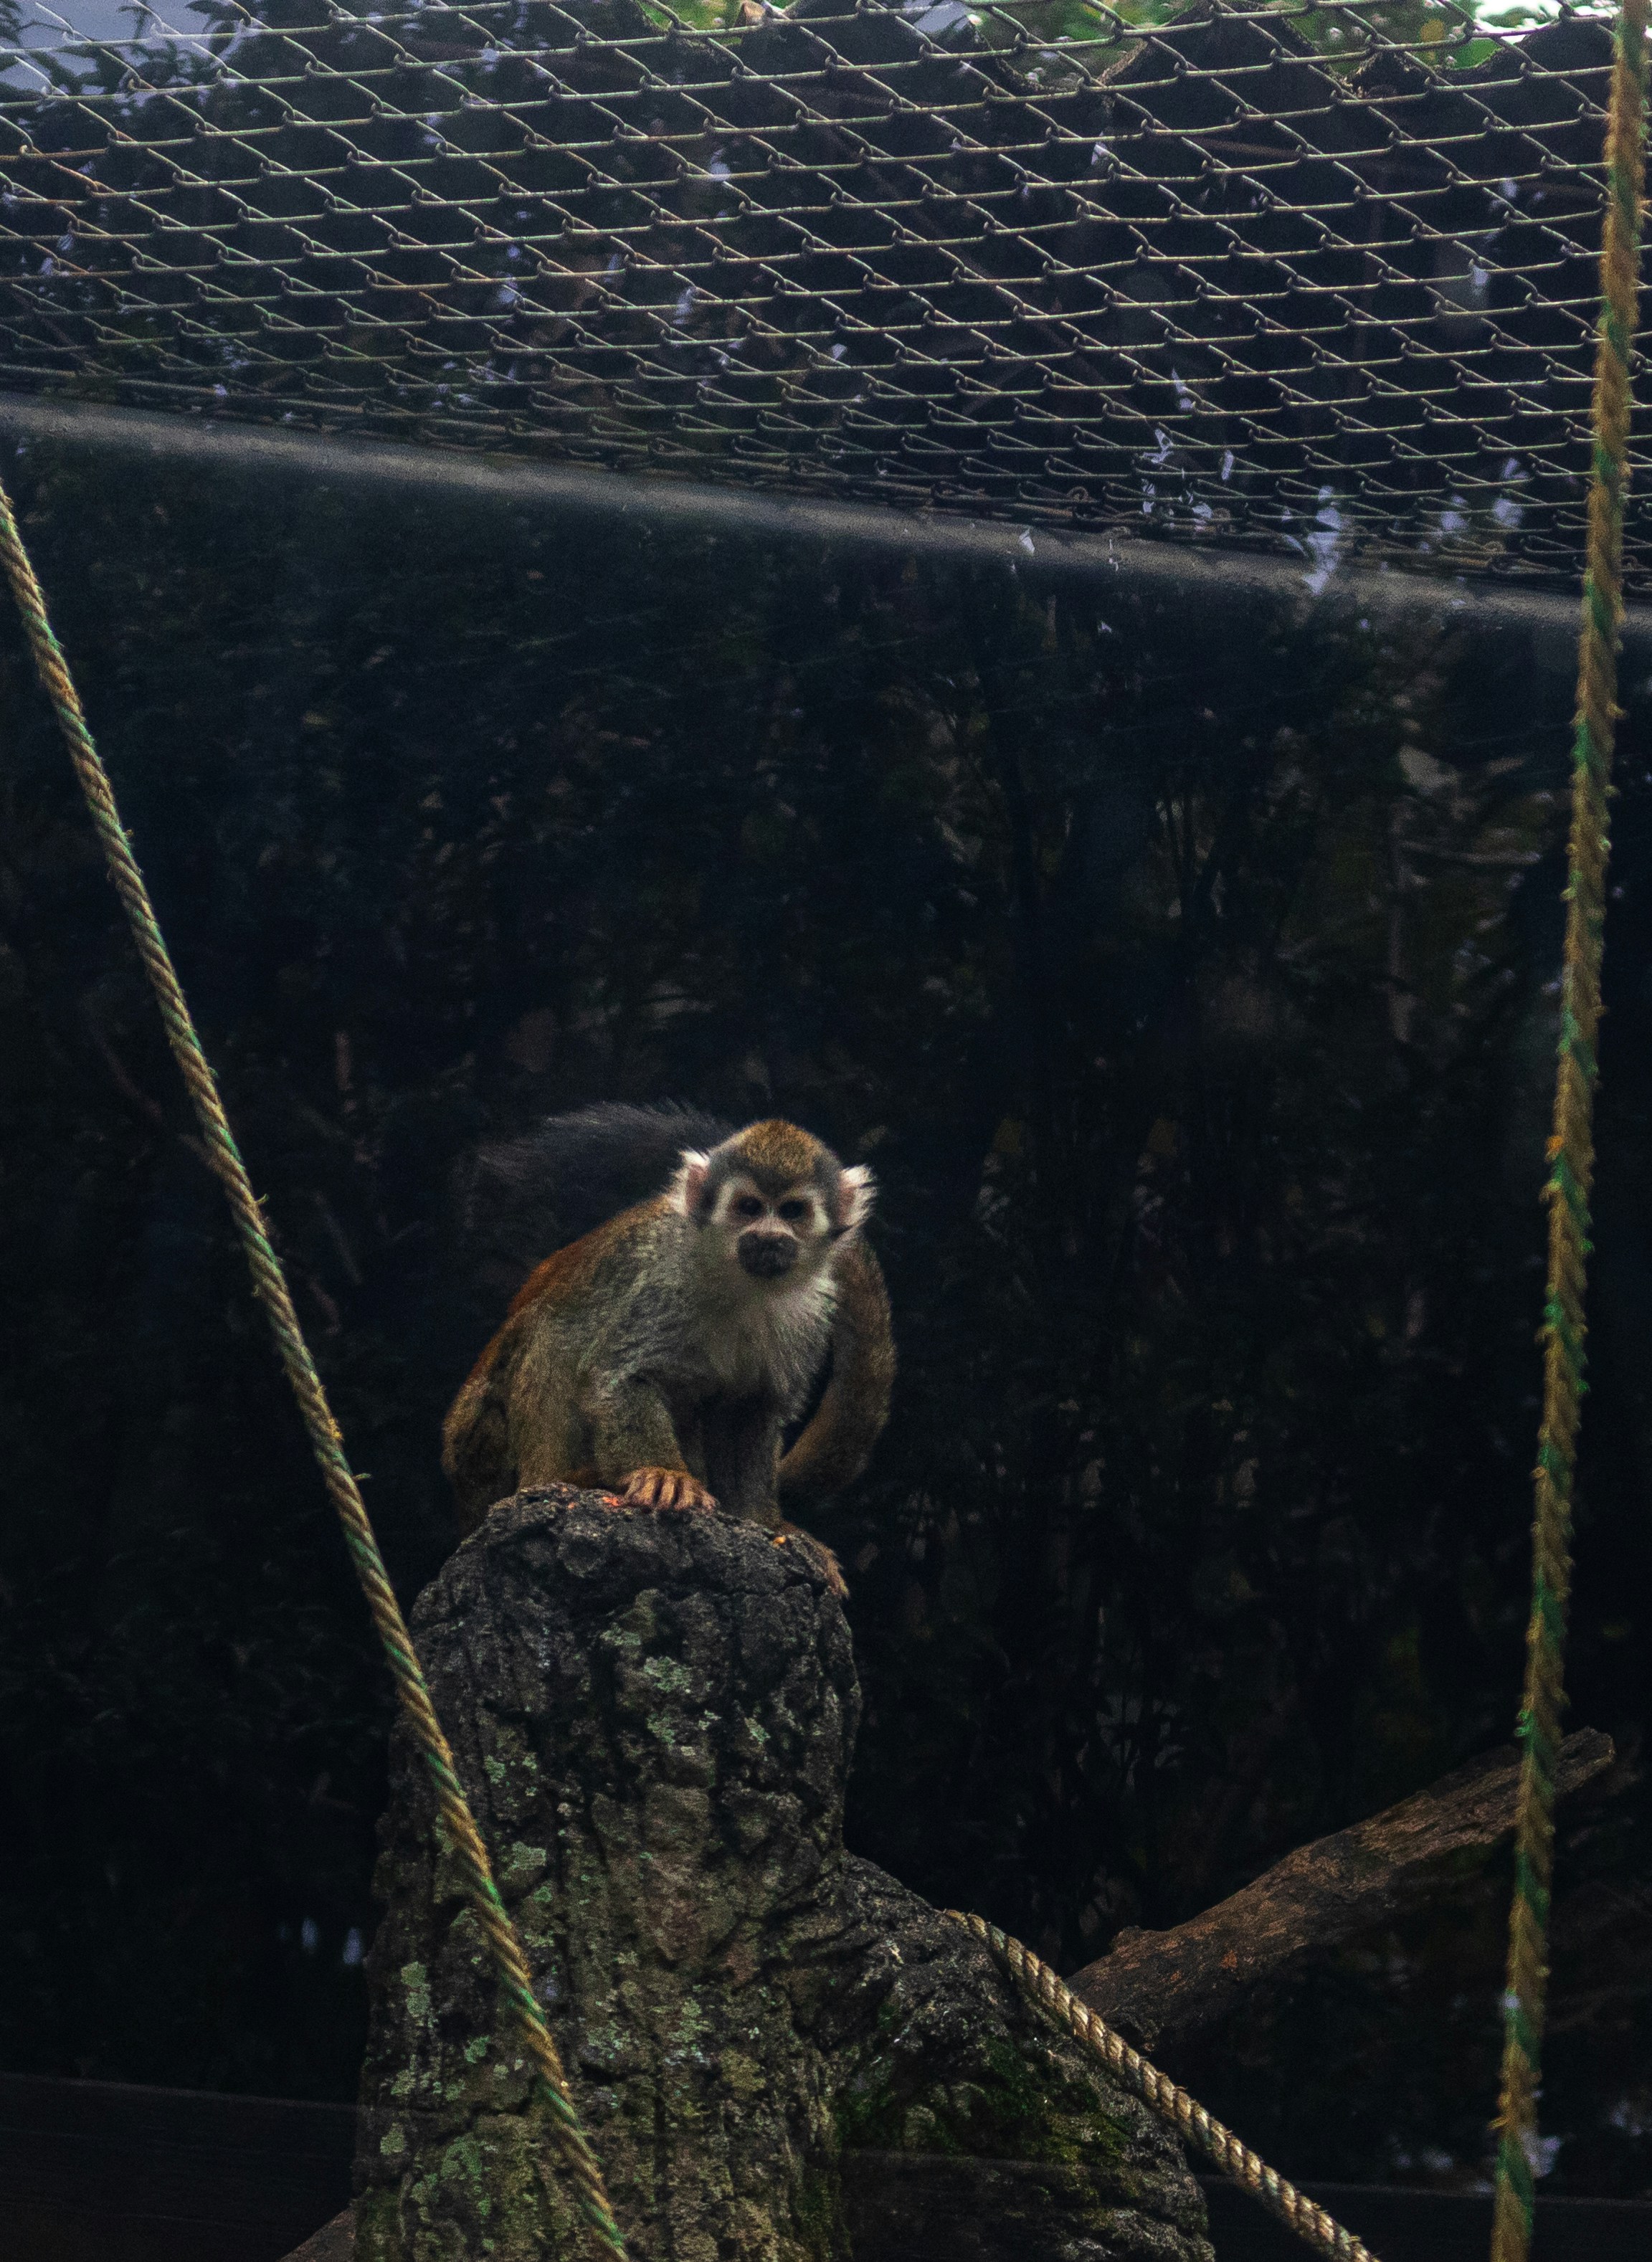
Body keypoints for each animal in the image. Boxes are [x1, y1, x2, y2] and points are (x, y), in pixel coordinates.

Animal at [441, 1110, 894, 1595]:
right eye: (749, 1208)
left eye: (792, 1211)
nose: (769, 1238)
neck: (742, 1284)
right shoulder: (665, 1280)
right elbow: (623, 1375)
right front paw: (663, 1474)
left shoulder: (810, 1312)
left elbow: (753, 1410)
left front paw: (767, 1524)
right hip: (476, 1444)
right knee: (551, 1333)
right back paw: (558, 1484)